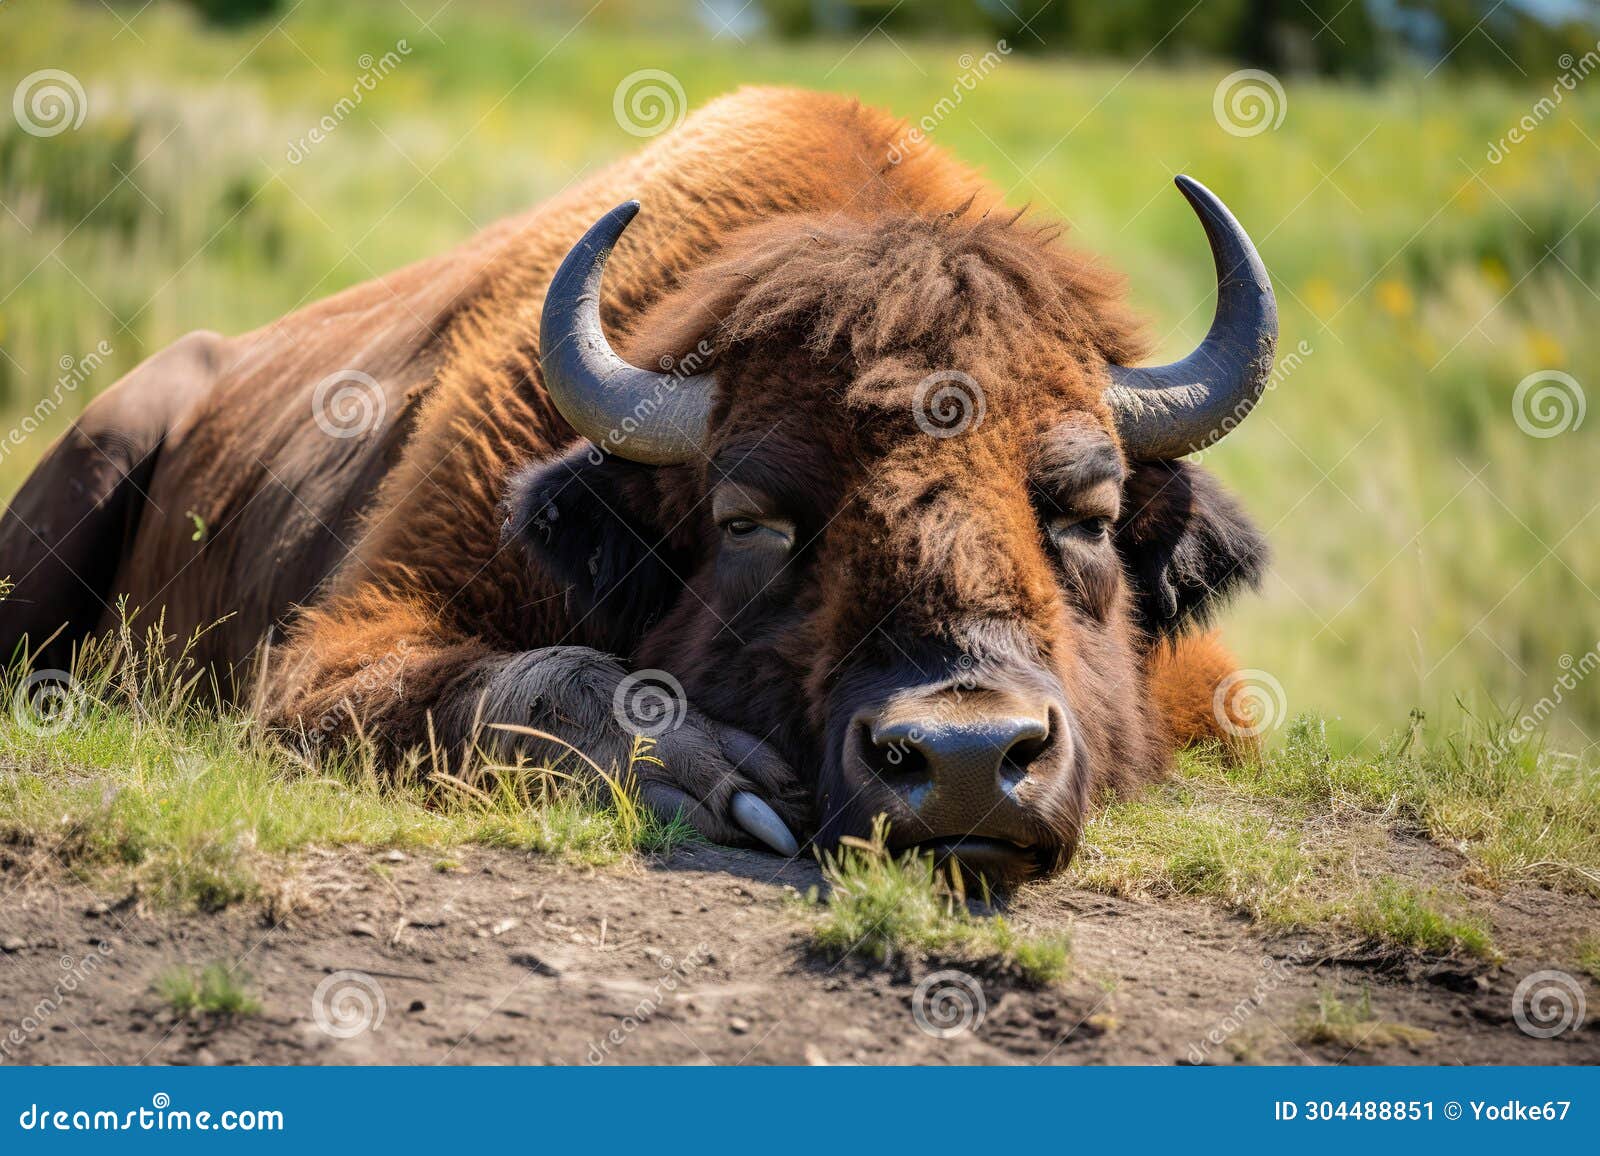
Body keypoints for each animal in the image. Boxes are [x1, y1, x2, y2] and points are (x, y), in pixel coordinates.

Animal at [1, 89, 1274, 881]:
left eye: (1088, 516)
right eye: (749, 520)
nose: (965, 760)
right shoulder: (340, 653)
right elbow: (531, 679)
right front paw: (713, 784)